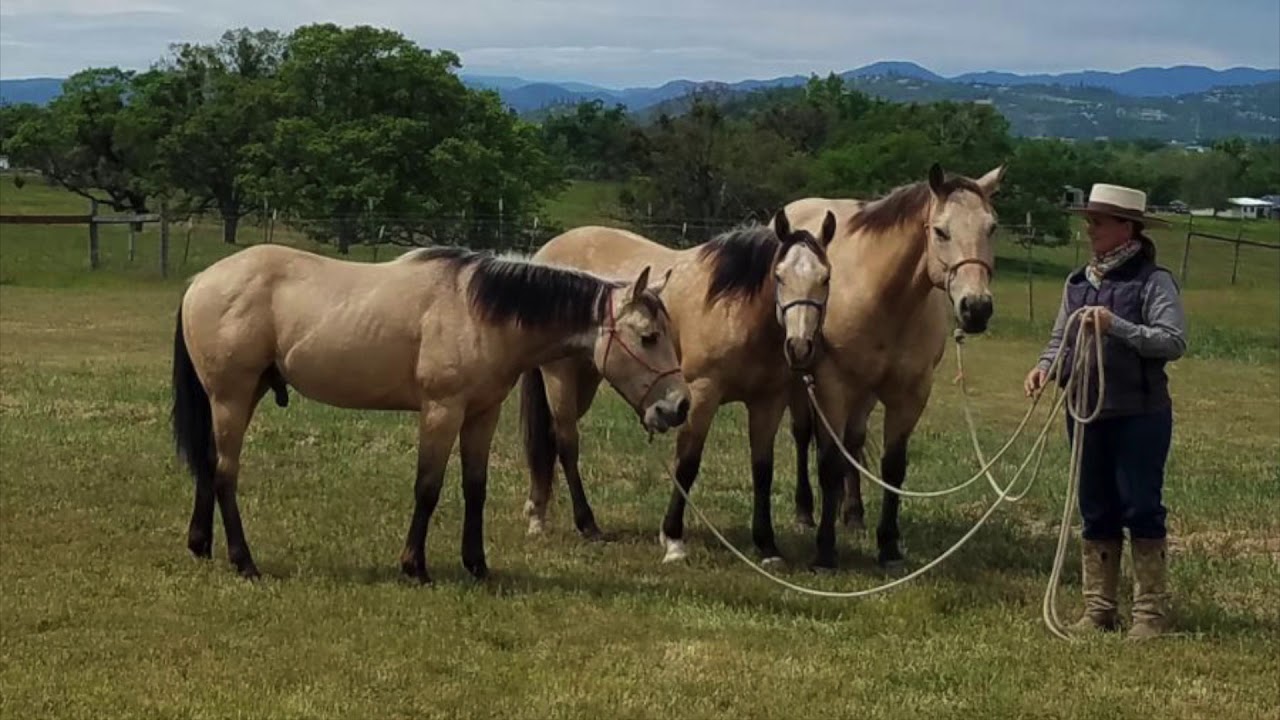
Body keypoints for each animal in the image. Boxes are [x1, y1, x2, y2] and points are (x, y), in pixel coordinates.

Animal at [170, 243, 690, 584]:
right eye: (648, 336)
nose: (679, 405)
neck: (479, 312)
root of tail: (199, 282)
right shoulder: (441, 411)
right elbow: (428, 488)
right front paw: (414, 566)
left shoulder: (482, 414)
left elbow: (475, 488)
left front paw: (476, 564)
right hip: (232, 398)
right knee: (225, 473)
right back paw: (243, 561)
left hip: (238, 396)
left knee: (208, 466)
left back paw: (201, 545)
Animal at [519, 208, 836, 563]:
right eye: (779, 276)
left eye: (826, 278)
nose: (800, 346)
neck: (735, 309)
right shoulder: (702, 393)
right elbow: (687, 464)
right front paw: (672, 540)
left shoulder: (769, 401)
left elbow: (762, 469)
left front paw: (767, 546)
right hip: (560, 375)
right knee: (566, 442)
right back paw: (585, 523)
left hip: (586, 379)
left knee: (549, 439)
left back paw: (538, 512)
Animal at [782, 162, 1005, 570]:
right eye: (940, 231)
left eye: (991, 227)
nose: (976, 308)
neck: (881, 295)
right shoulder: (832, 385)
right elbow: (828, 464)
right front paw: (825, 550)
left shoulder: (909, 394)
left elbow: (892, 467)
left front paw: (887, 547)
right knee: (804, 437)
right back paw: (805, 511)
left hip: (865, 394)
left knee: (853, 442)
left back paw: (853, 513)